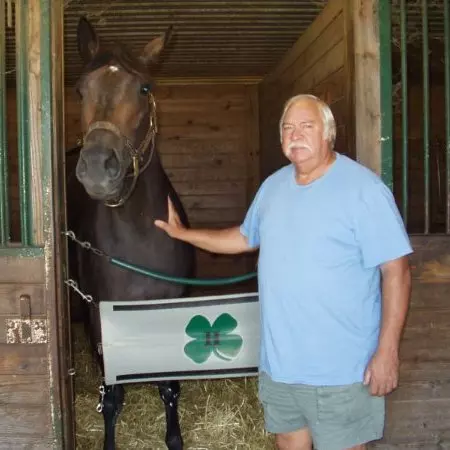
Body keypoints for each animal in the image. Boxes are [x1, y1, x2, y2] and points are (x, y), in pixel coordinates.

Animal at [66, 15, 195, 448]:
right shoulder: (100, 318)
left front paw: (174, 439)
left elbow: (169, 387)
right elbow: (111, 396)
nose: (97, 167)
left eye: (145, 88)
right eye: (80, 88)